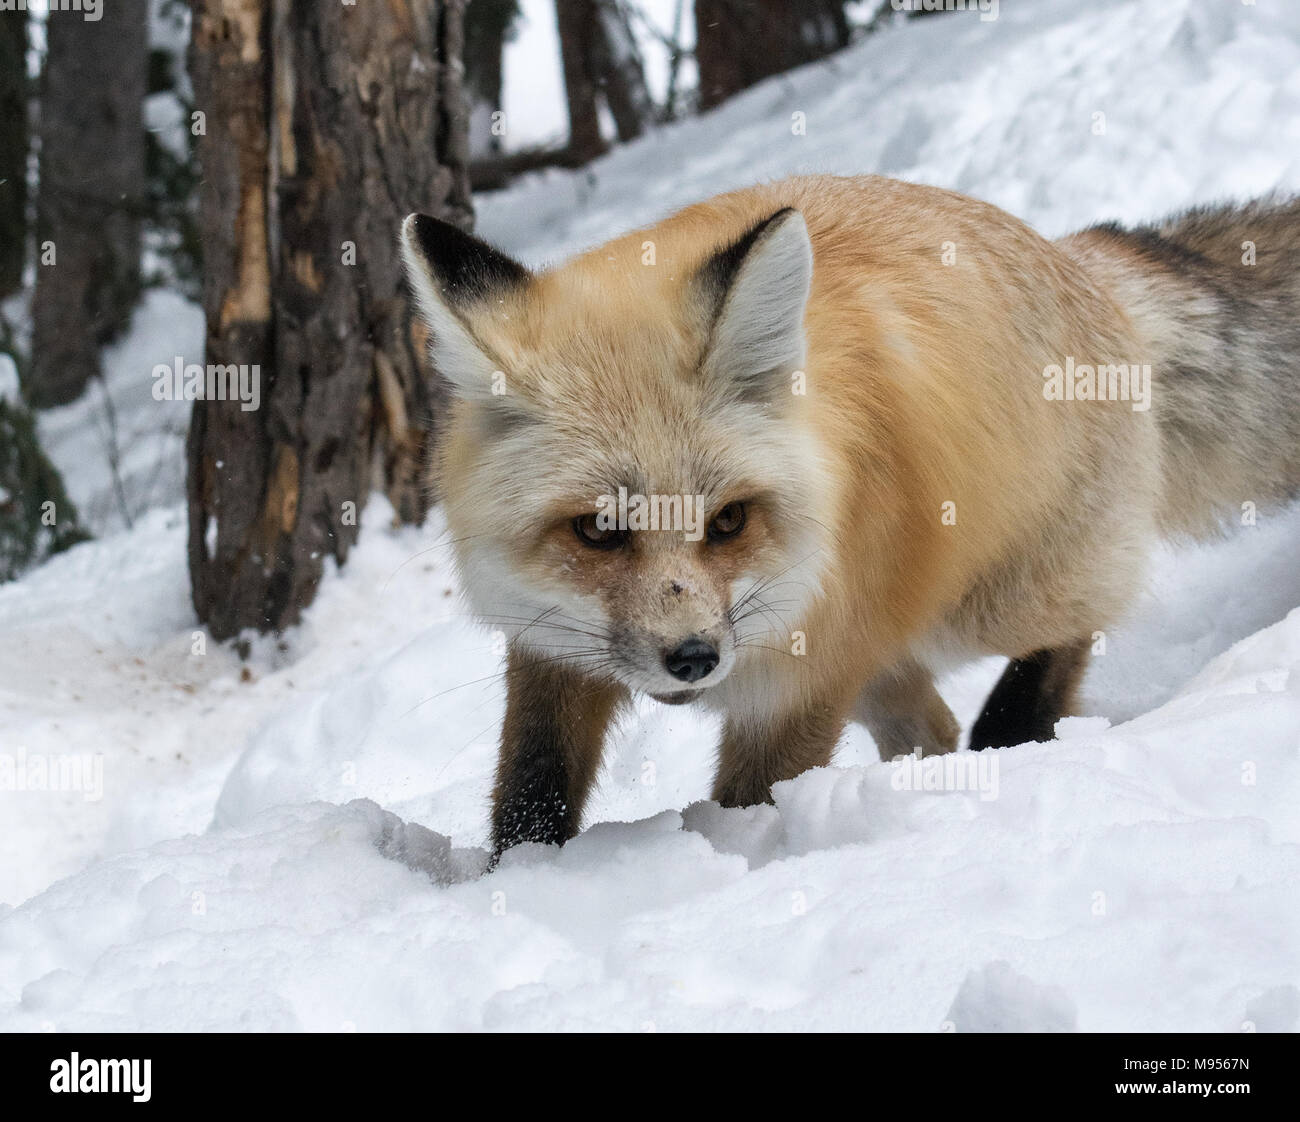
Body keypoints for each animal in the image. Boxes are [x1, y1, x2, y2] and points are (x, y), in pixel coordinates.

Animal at [399, 175, 1300, 859]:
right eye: (596, 531)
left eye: (728, 521)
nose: (693, 659)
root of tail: (1078, 258)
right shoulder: (552, 649)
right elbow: (530, 791)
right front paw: (522, 880)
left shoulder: (806, 678)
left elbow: (747, 803)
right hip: (883, 654)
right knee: (930, 722)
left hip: (983, 606)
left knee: (1072, 629)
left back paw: (1012, 733)